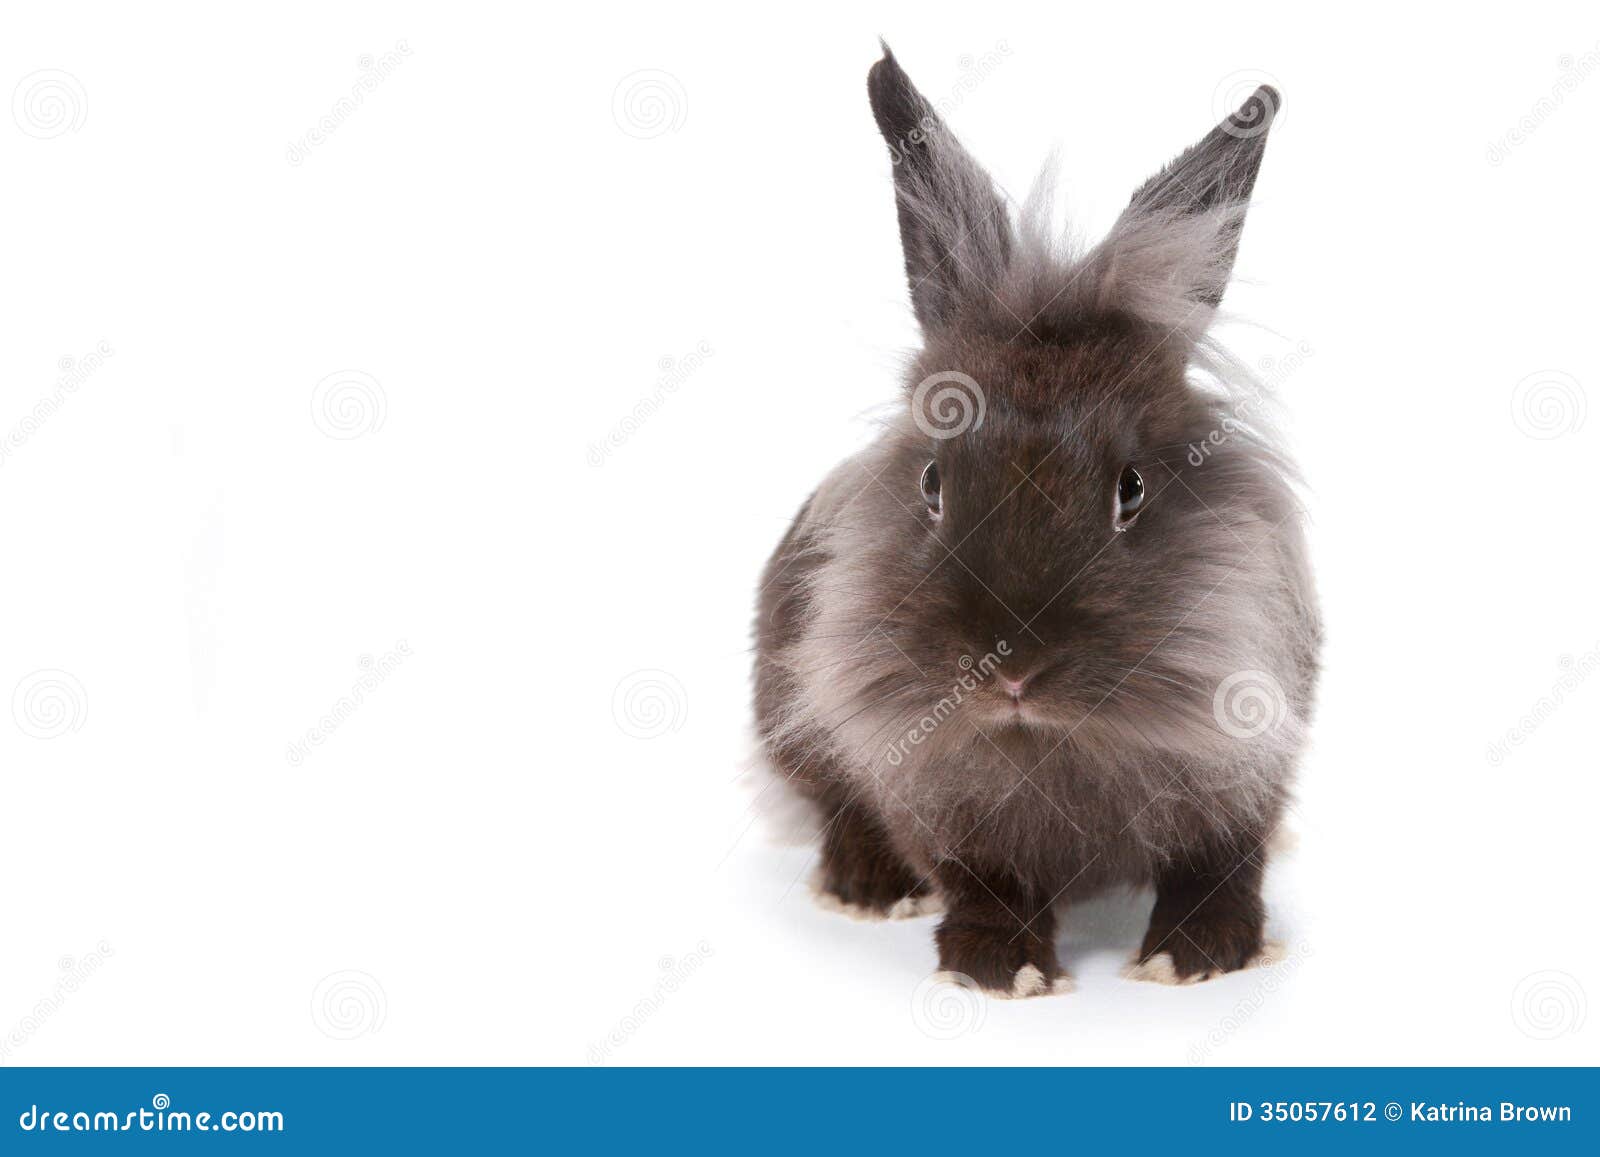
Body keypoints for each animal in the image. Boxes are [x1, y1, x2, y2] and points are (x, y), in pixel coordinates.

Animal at [752, 44, 1320, 997]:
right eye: (933, 482)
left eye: (1132, 487)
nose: (1011, 669)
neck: (1050, 738)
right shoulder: (937, 797)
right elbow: (985, 877)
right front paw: (998, 967)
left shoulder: (1247, 765)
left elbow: (1224, 861)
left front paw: (1197, 957)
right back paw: (868, 888)